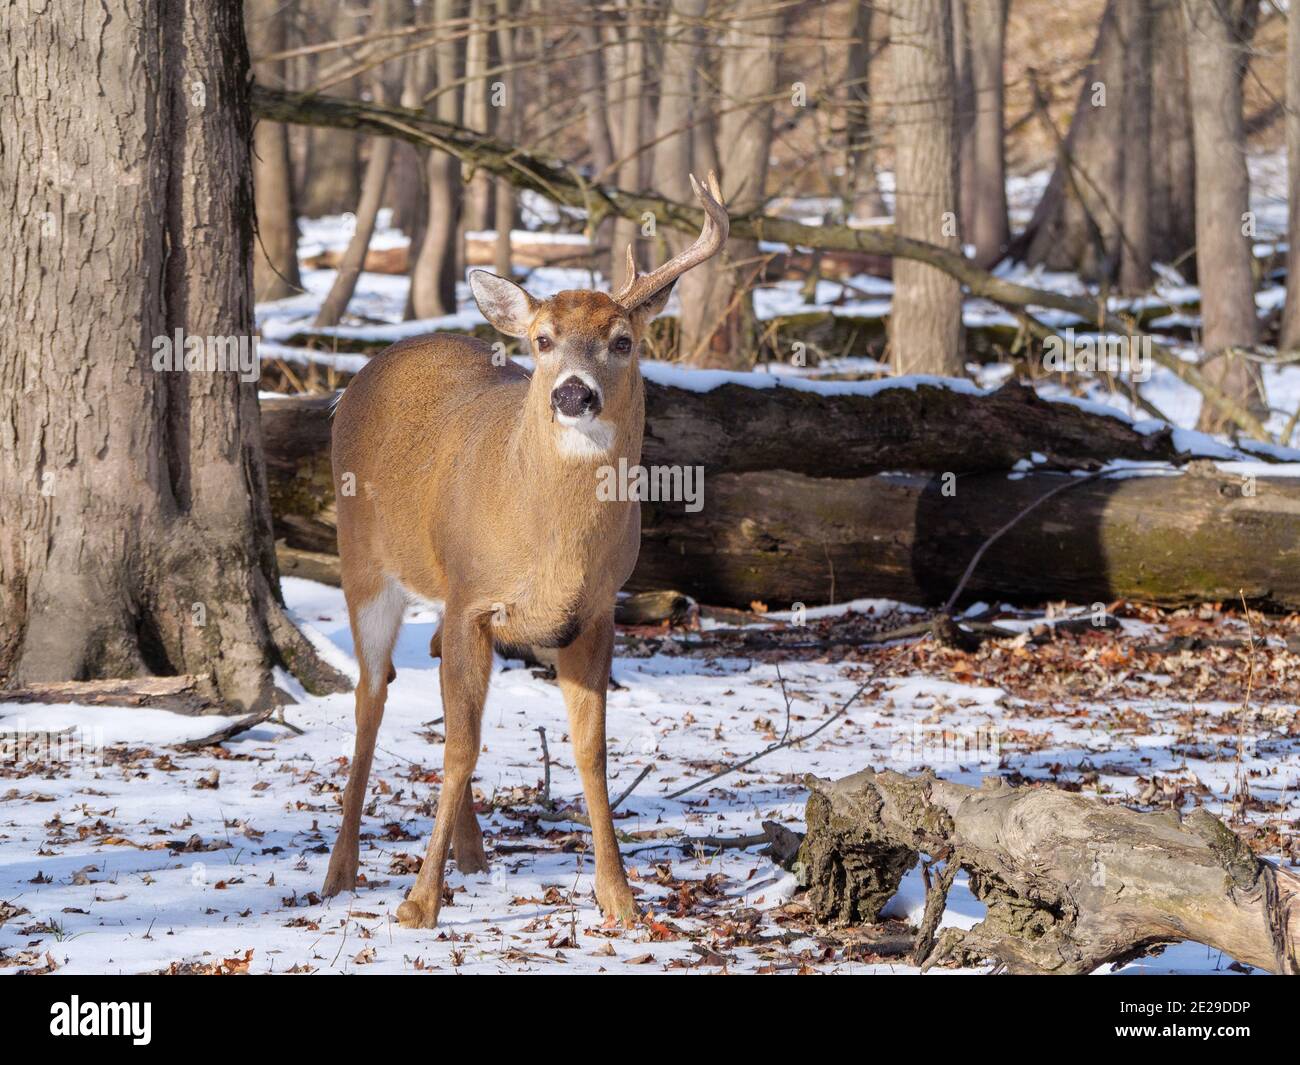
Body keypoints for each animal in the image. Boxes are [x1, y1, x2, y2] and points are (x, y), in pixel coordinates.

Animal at [321, 173, 728, 928]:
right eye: (542, 340)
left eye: (622, 340)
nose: (572, 392)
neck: (553, 544)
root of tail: (367, 370)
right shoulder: (473, 598)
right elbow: (459, 746)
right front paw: (418, 904)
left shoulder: (595, 610)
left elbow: (590, 751)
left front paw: (619, 897)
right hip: (364, 560)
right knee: (371, 694)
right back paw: (341, 871)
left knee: (426, 673)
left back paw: (474, 855)